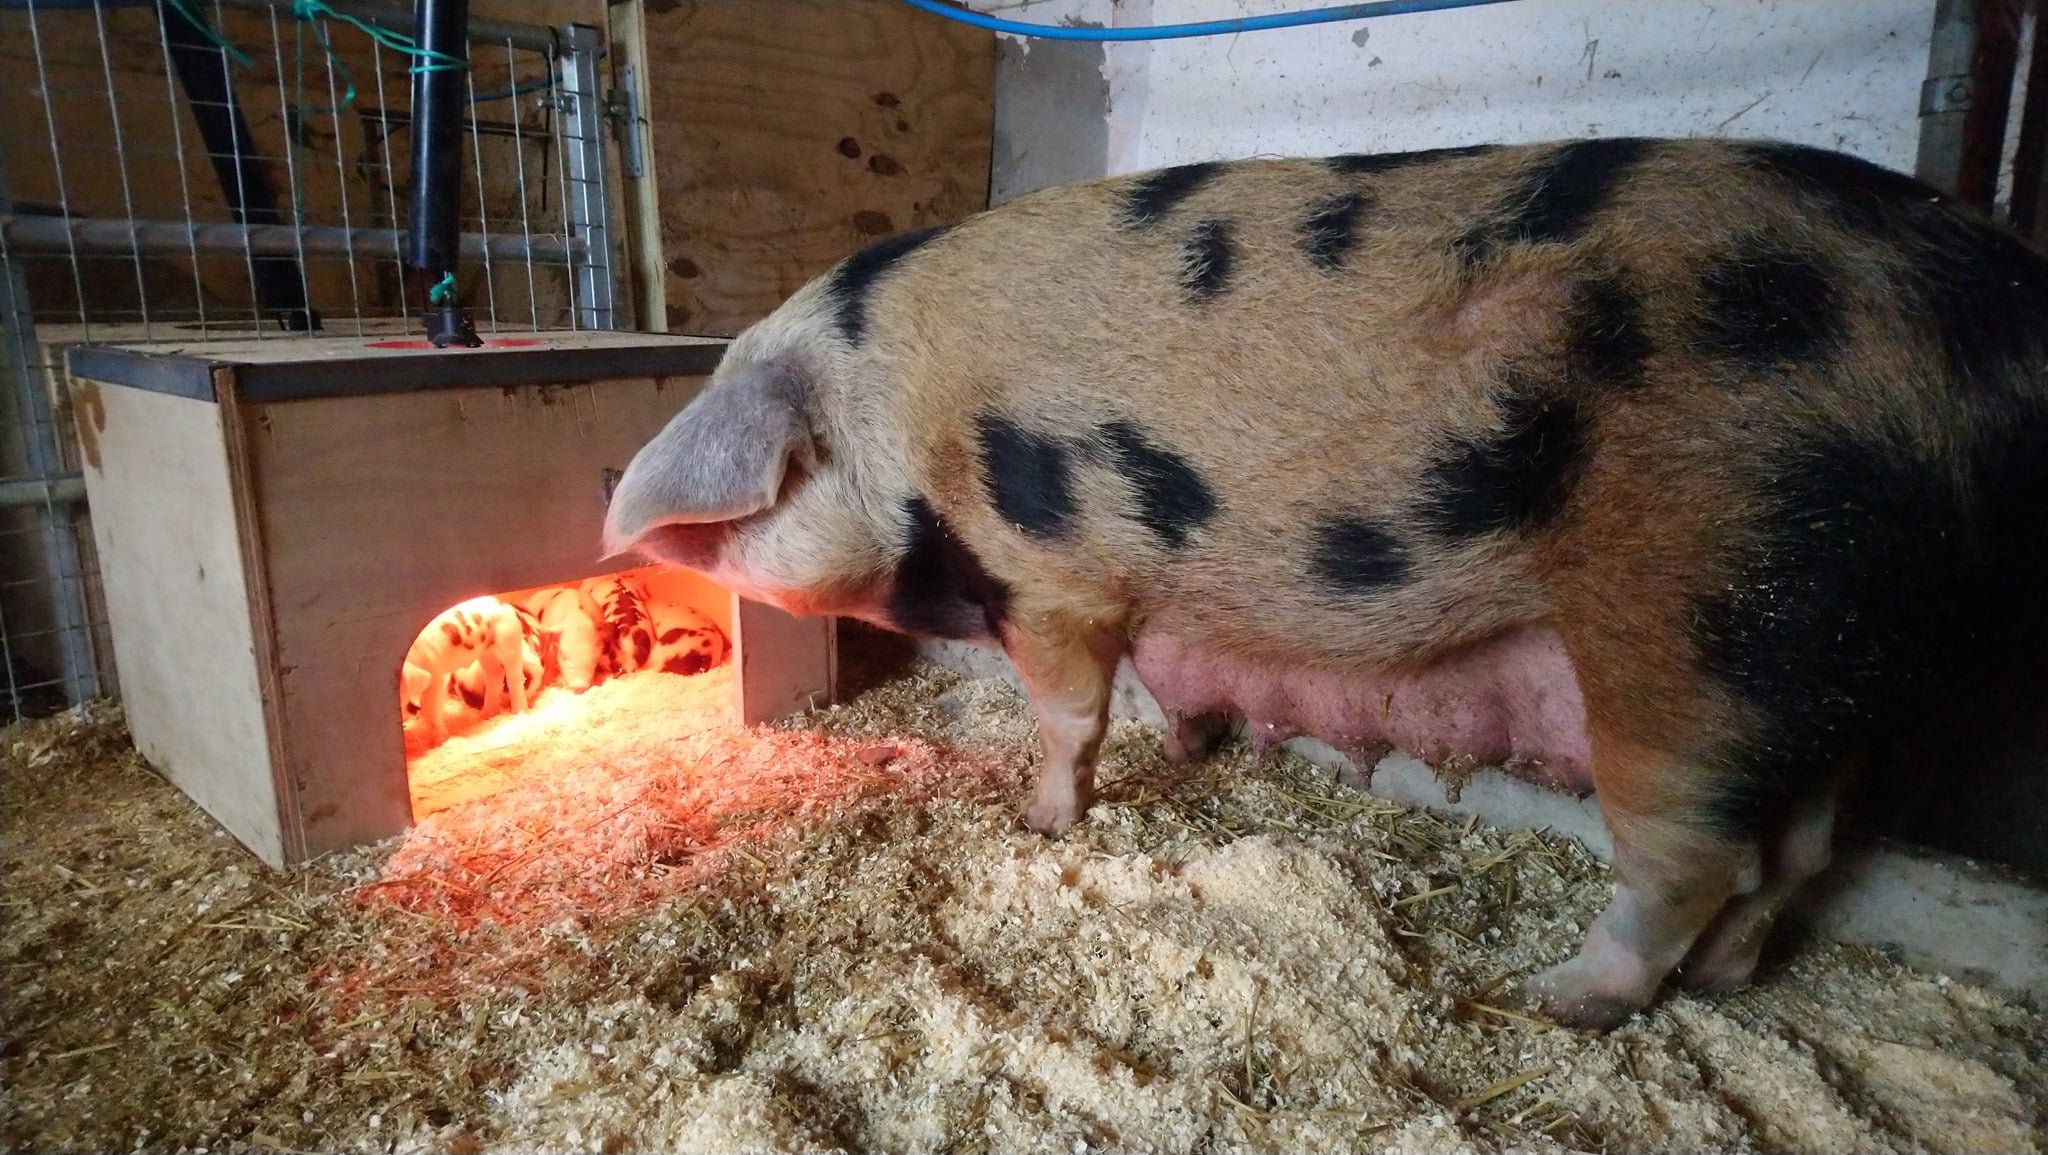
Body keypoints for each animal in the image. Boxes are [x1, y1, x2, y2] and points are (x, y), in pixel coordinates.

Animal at [600, 137, 2048, 1029]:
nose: (634, 561)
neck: (895, 424)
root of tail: (1986, 318)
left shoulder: (1045, 571)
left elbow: (1071, 708)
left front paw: (1042, 818)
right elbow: (1158, 679)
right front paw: (1182, 747)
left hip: (1709, 615)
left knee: (1690, 855)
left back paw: (1555, 996)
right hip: (1834, 658)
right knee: (1800, 850)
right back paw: (1732, 981)